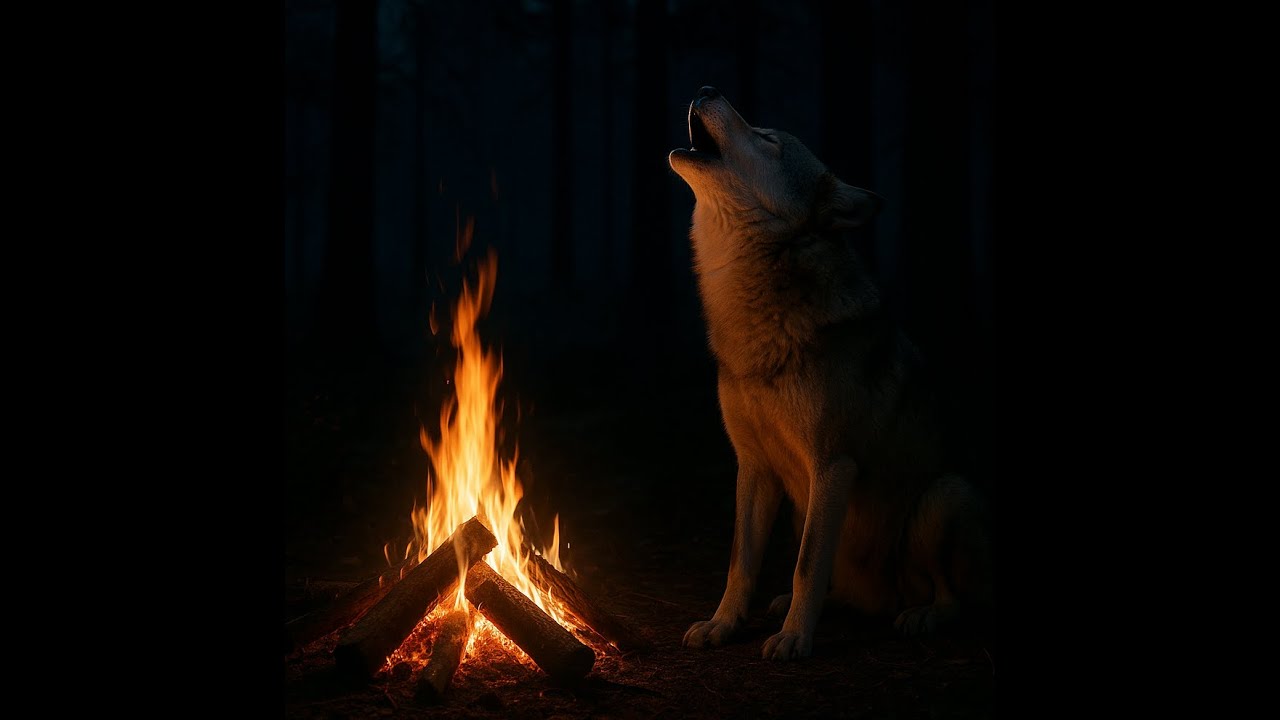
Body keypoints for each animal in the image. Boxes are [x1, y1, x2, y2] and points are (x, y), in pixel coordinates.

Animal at [668, 86, 991, 660]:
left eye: (768, 138)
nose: (706, 89)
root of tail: (881, 598)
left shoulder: (831, 465)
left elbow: (805, 564)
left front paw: (794, 637)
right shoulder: (752, 466)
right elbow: (740, 563)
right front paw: (723, 624)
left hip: (942, 496)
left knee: (951, 596)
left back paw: (921, 614)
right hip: (805, 510)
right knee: (842, 588)